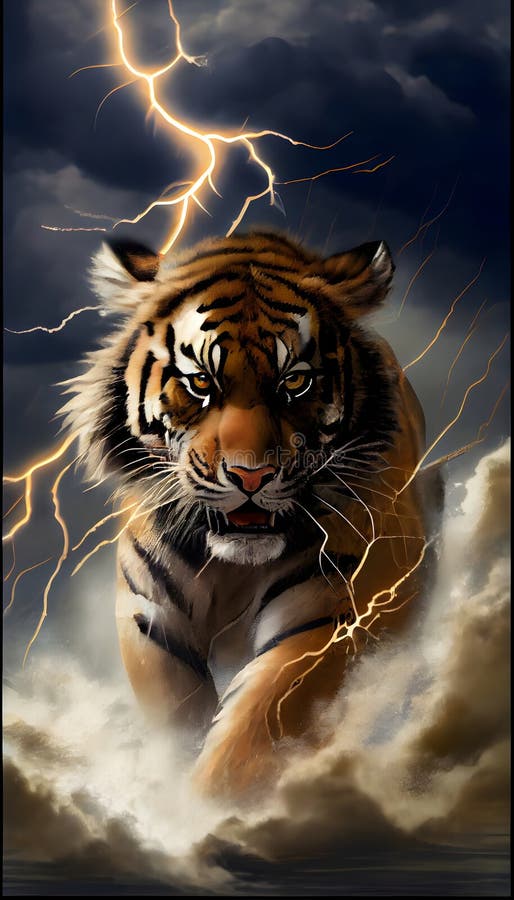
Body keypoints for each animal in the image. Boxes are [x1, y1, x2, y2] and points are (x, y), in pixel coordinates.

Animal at [61, 230, 442, 799]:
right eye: (200, 383)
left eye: (295, 382)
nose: (251, 476)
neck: (233, 569)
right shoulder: (151, 617)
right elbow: (177, 713)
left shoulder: (337, 610)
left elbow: (257, 726)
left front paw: (204, 809)